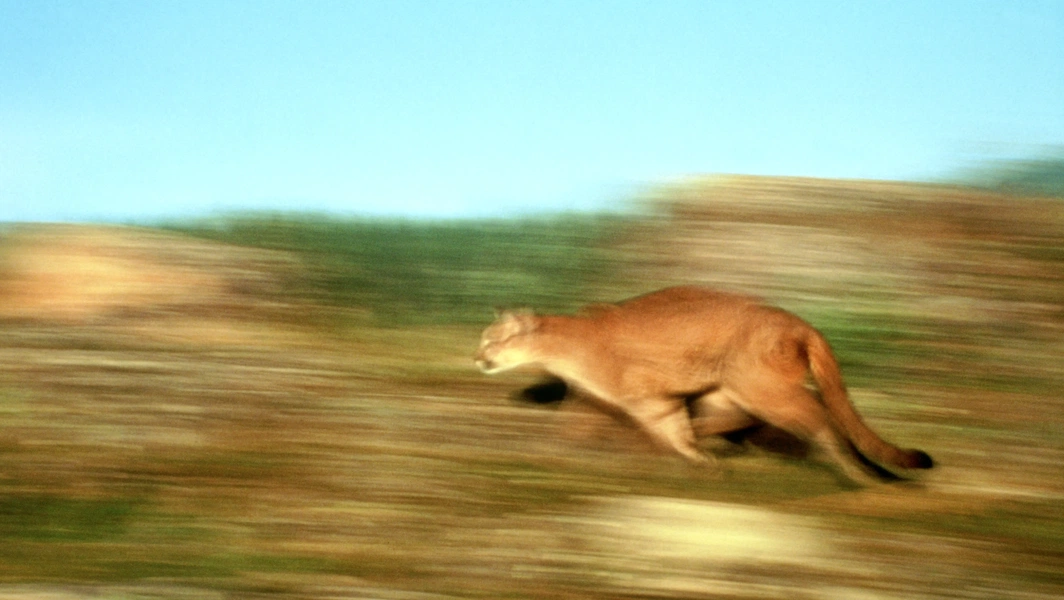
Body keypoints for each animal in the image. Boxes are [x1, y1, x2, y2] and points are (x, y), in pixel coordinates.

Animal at [475, 286, 932, 484]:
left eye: (491, 341)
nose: (477, 358)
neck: (569, 342)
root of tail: (799, 321)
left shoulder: (648, 399)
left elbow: (669, 432)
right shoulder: (636, 401)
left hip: (762, 388)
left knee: (818, 415)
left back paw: (856, 472)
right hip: (726, 391)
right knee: (739, 420)